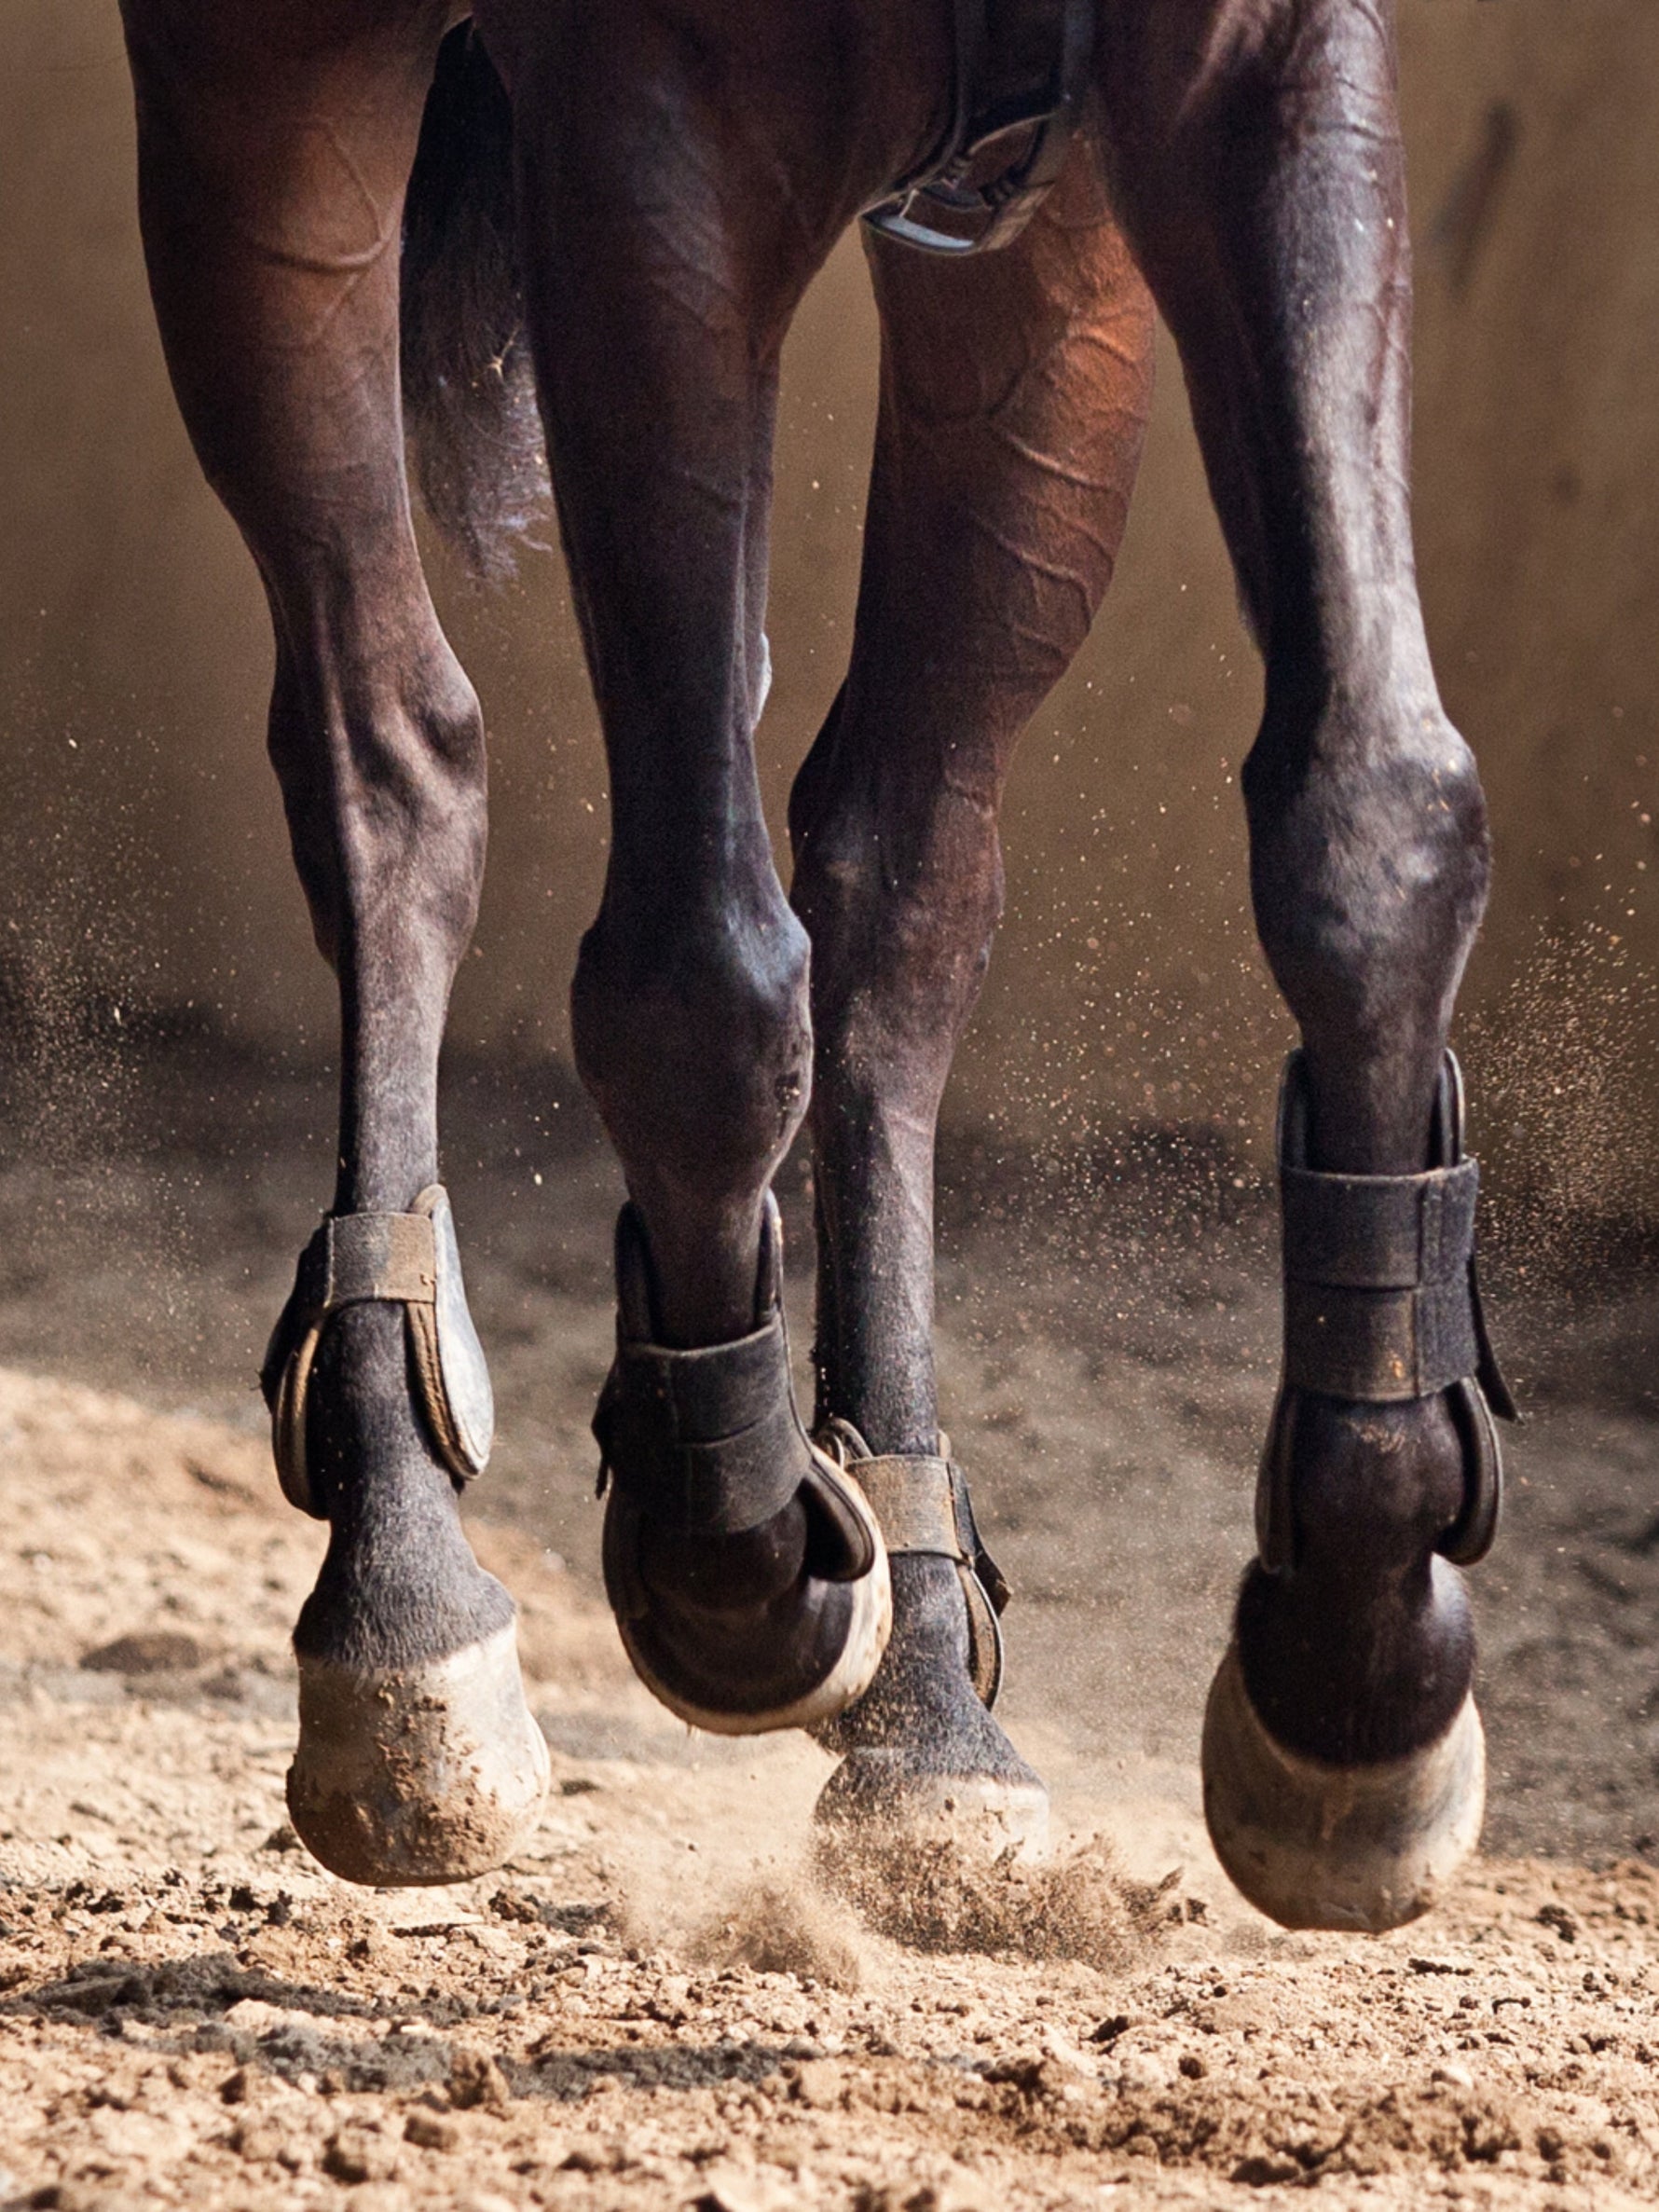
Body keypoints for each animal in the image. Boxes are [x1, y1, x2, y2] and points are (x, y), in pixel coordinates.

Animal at [116, 0, 1513, 1930]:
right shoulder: (651, 139)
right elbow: (694, 980)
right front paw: (731, 1555)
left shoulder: (1244, 66)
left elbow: (1375, 815)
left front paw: (1358, 1668)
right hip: (265, 96)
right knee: (391, 759)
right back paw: (410, 1612)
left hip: (1035, 284)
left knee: (897, 878)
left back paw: (924, 1693)